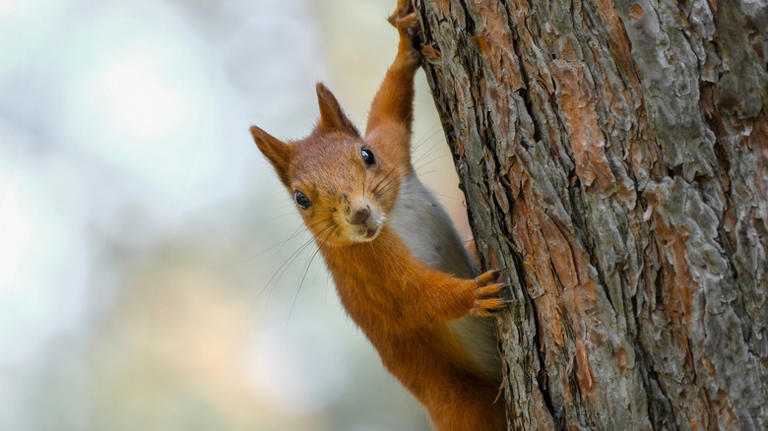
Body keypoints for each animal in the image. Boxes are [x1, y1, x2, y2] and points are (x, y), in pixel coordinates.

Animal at [249, 2, 508, 430]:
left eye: (366, 154)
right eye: (301, 199)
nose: (359, 212)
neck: (391, 217)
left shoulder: (392, 152)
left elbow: (390, 108)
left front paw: (404, 45)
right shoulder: (372, 275)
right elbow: (414, 299)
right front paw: (473, 294)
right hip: (469, 406)